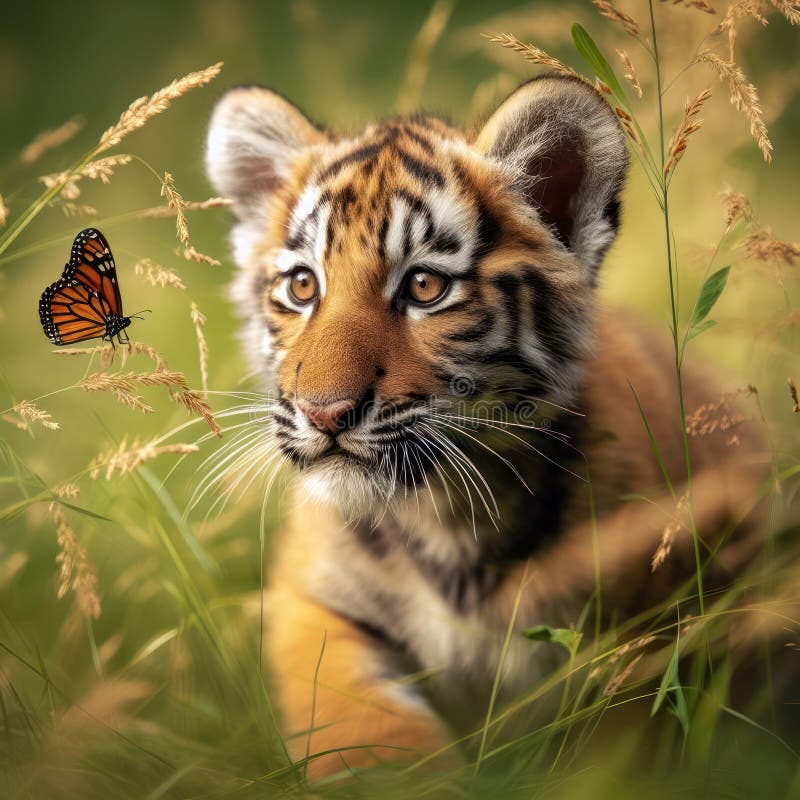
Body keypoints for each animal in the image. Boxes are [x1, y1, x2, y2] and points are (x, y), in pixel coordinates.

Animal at [205, 75, 765, 778]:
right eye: (303, 285)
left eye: (425, 286)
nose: (323, 411)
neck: (445, 522)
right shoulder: (310, 600)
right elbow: (366, 727)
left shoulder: (645, 623)